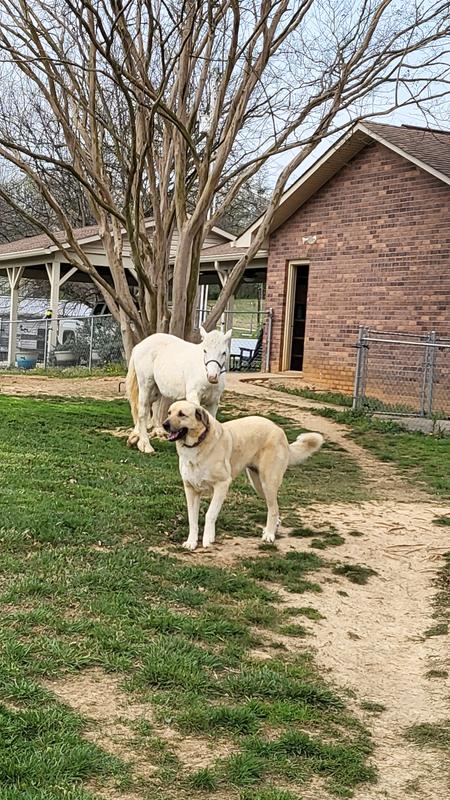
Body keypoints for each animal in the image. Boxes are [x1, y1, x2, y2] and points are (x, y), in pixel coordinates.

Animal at [125, 326, 232, 454]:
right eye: (205, 351)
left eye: (224, 353)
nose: (212, 377)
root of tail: (139, 346)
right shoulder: (193, 396)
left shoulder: (214, 402)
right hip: (145, 384)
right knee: (143, 410)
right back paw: (145, 445)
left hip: (156, 389)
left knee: (153, 407)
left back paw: (136, 436)